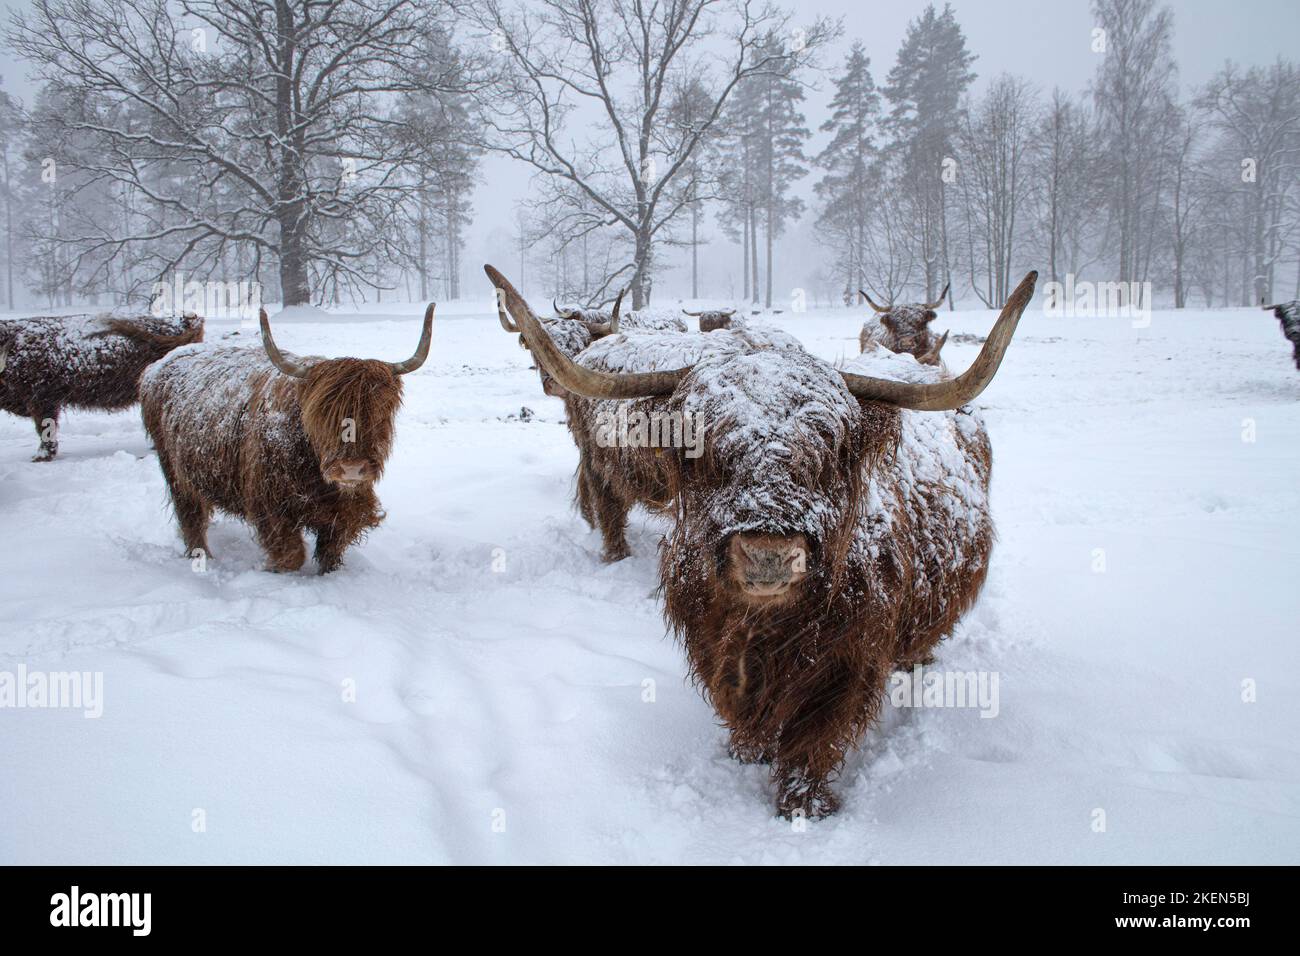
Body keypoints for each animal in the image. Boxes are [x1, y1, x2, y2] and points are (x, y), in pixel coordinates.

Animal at [138, 306, 433, 574]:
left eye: (379, 413)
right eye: (320, 414)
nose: (351, 469)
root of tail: (158, 366)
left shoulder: (346, 508)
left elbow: (331, 552)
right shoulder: (270, 506)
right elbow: (291, 555)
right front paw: (271, 569)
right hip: (174, 470)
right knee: (191, 516)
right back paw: (203, 558)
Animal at [487, 262, 1036, 819]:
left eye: (830, 451)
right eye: (702, 448)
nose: (767, 555)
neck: (763, 623)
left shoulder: (847, 660)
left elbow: (815, 735)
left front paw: (803, 805)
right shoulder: (712, 643)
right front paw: (746, 752)